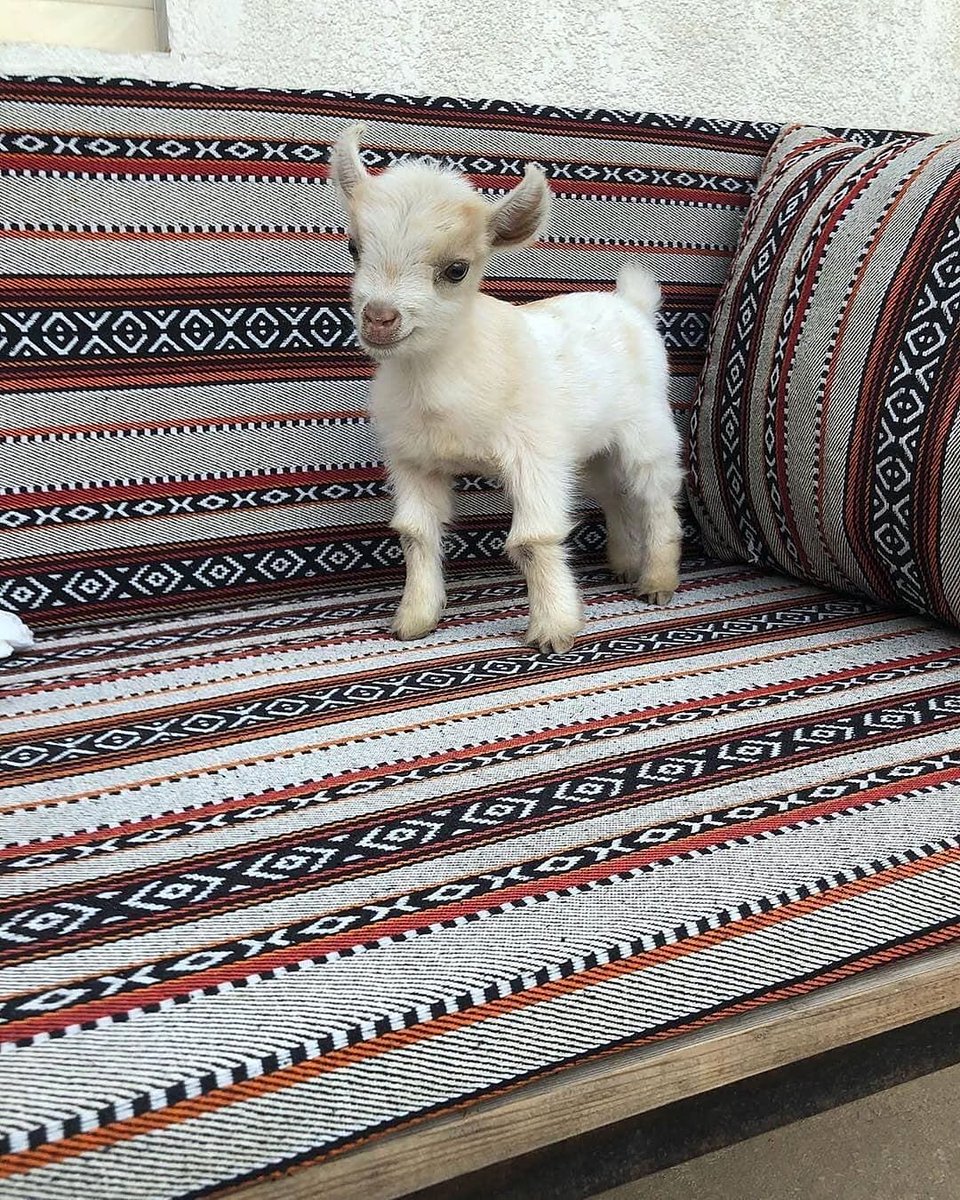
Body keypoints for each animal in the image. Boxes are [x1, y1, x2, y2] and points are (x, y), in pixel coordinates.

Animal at [330, 125, 682, 653]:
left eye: (456, 269)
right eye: (353, 248)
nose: (379, 318)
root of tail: (631, 303)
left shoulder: (532, 454)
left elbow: (534, 540)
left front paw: (555, 629)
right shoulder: (412, 459)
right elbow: (415, 533)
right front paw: (414, 618)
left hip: (647, 427)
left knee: (655, 492)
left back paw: (658, 579)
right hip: (591, 448)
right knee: (612, 493)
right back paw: (623, 562)